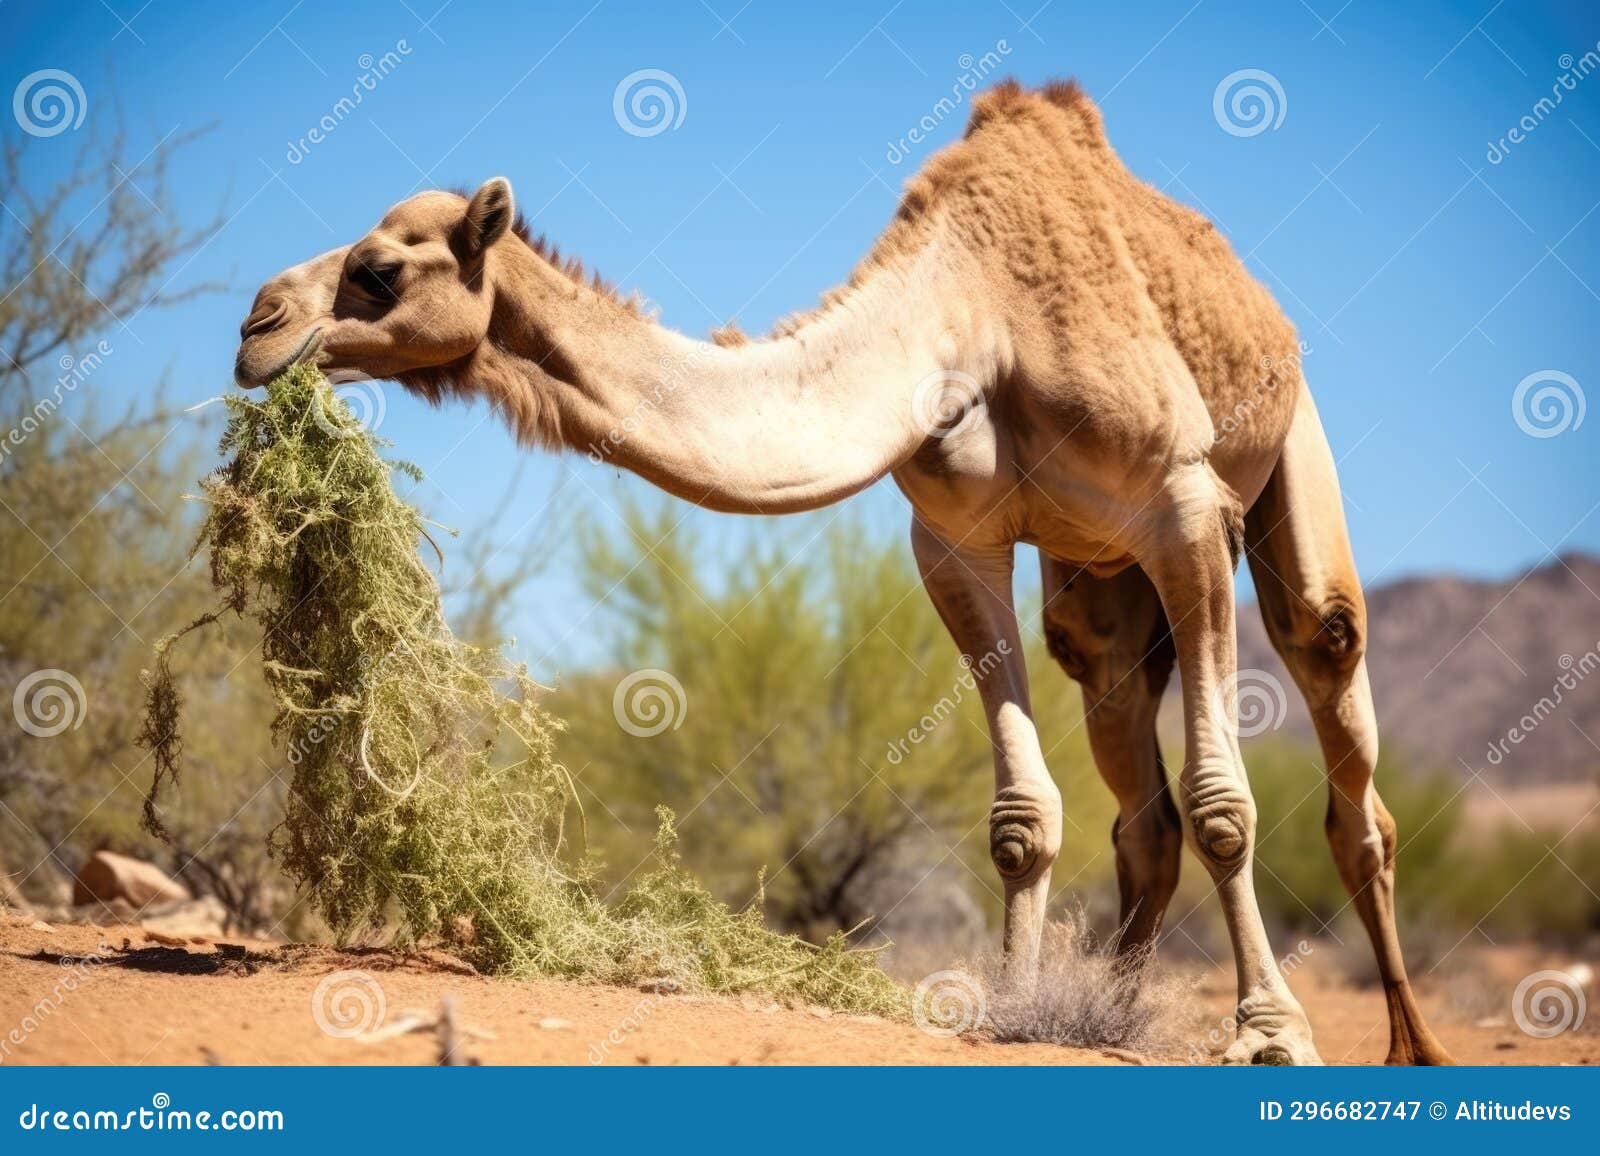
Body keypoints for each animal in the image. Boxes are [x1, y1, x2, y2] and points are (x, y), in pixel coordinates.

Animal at [234, 79, 1452, 1066]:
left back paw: (1412, 1045)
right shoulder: (953, 538)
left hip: (1285, 465)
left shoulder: (1185, 508)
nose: (257, 323)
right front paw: (1013, 1011)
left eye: (379, 269)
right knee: (1129, 773)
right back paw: (1112, 1008)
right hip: (1097, 584)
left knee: (1340, 721)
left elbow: (1225, 805)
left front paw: (1271, 1032)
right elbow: (1024, 815)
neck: (972, 310)